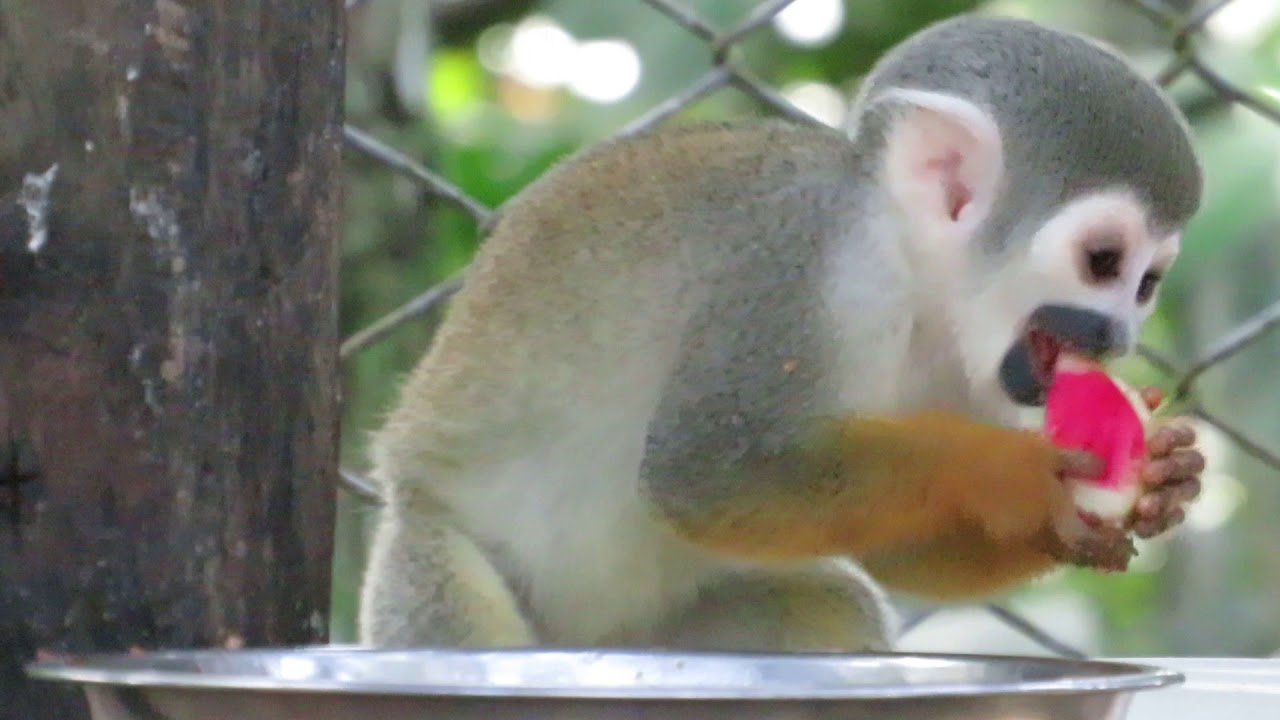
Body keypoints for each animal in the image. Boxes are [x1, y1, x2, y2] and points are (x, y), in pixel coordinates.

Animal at [357, 14, 1207, 652]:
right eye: (1102, 262)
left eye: (1147, 283)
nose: (1117, 336)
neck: (908, 267)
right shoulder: (795, 265)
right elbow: (704, 472)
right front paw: (1007, 473)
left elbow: (898, 545)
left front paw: (1144, 486)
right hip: (429, 555)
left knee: (832, 603)